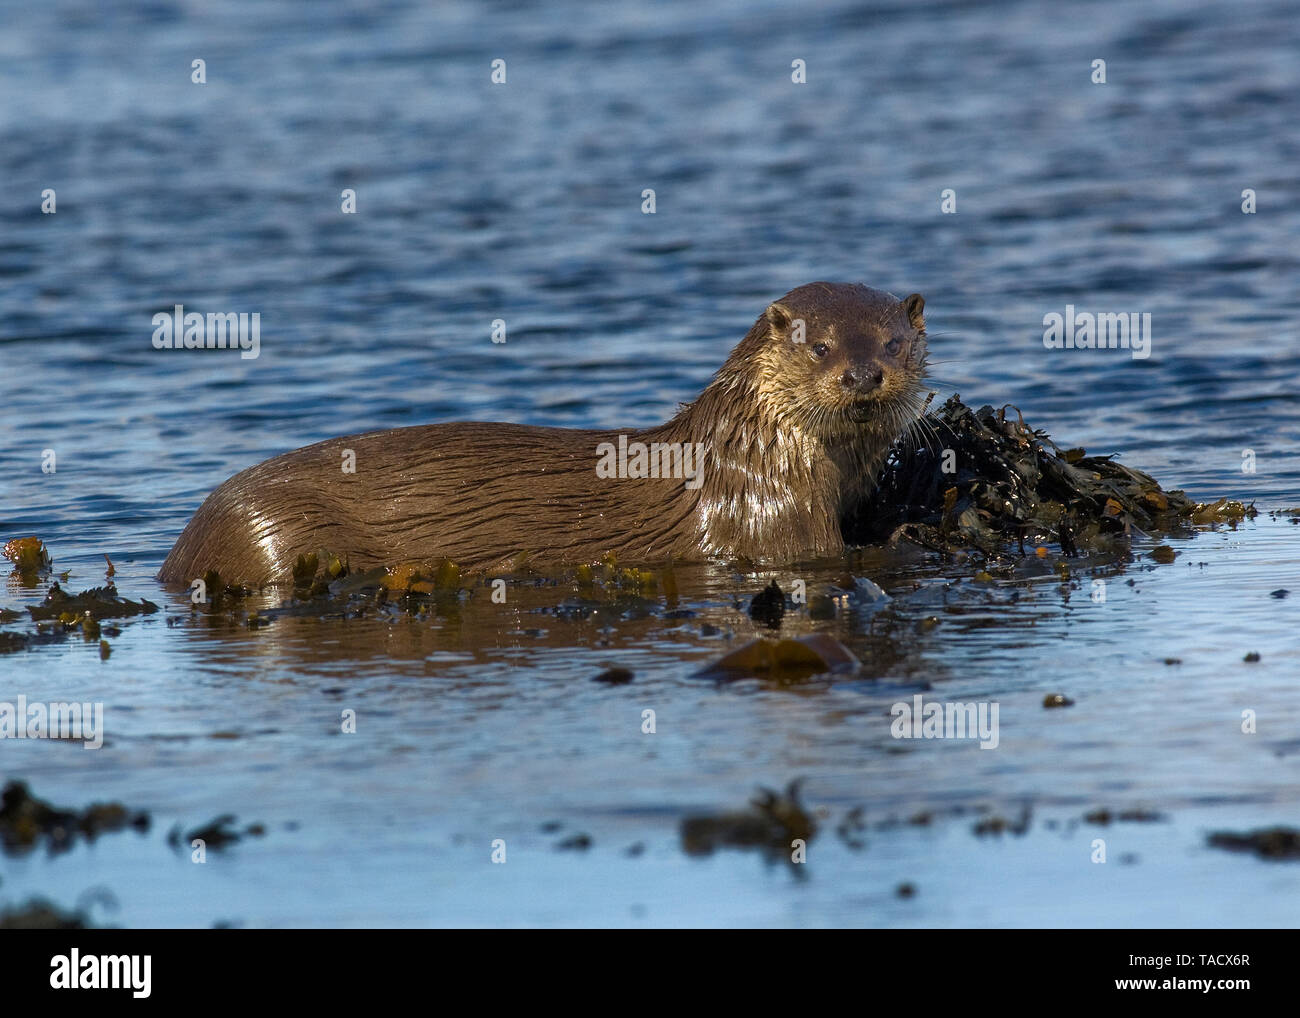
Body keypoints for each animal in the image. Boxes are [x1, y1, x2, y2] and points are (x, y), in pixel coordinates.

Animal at [157, 283, 929, 586]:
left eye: (893, 342)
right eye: (820, 347)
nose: (864, 375)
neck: (758, 451)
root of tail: (180, 552)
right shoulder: (773, 524)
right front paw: (903, 534)